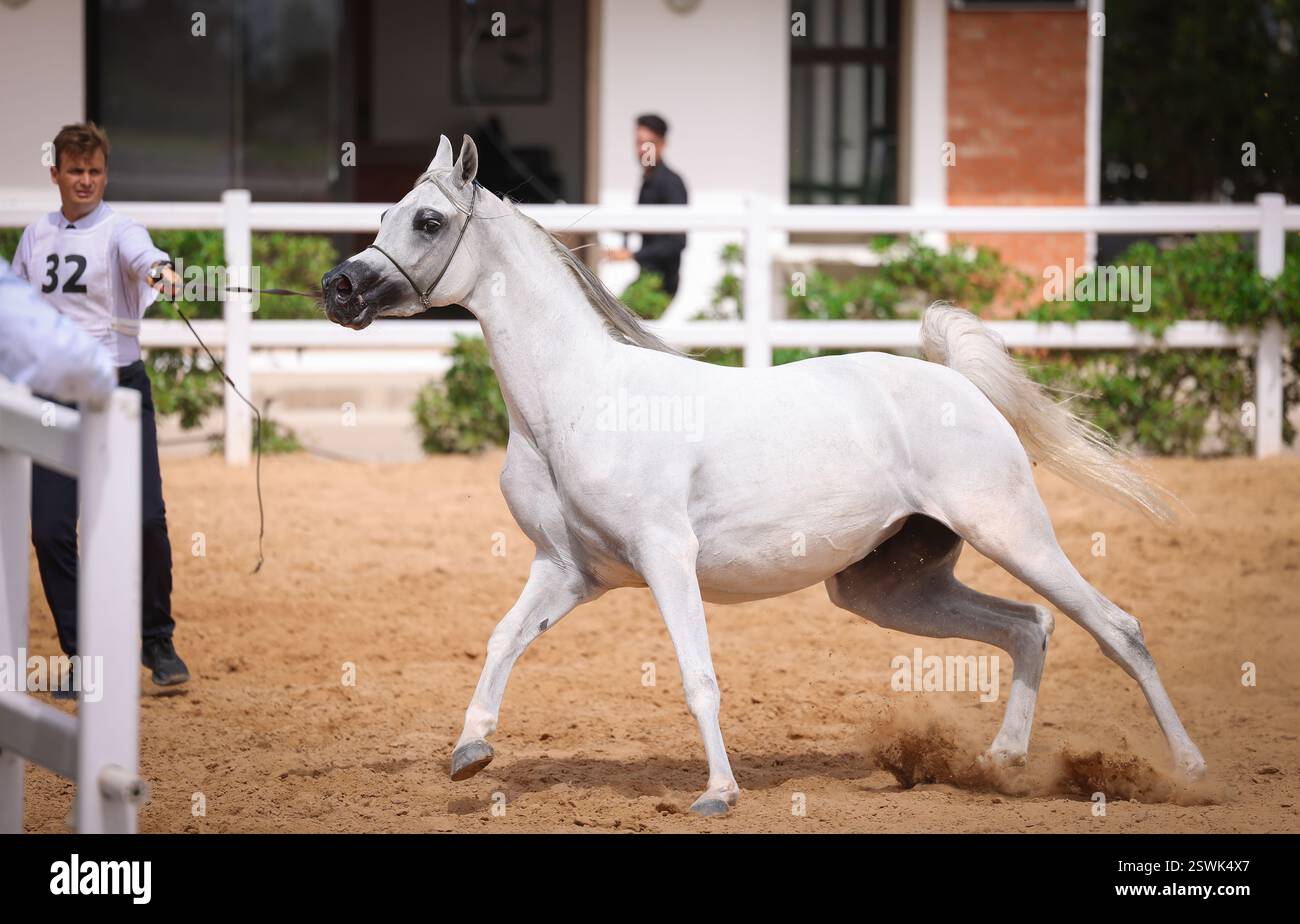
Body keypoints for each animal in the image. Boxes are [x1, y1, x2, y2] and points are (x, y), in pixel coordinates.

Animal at [320, 134, 1206, 816]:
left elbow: (697, 677)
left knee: (1114, 628)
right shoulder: (567, 570)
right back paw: (1001, 764)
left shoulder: (665, 558)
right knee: (1029, 627)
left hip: (1011, 530)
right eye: (384, 215)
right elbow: (504, 638)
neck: (578, 399)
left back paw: (1190, 772)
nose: (339, 288)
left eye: (428, 220)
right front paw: (470, 751)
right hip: (888, 587)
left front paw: (718, 793)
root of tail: (958, 385)